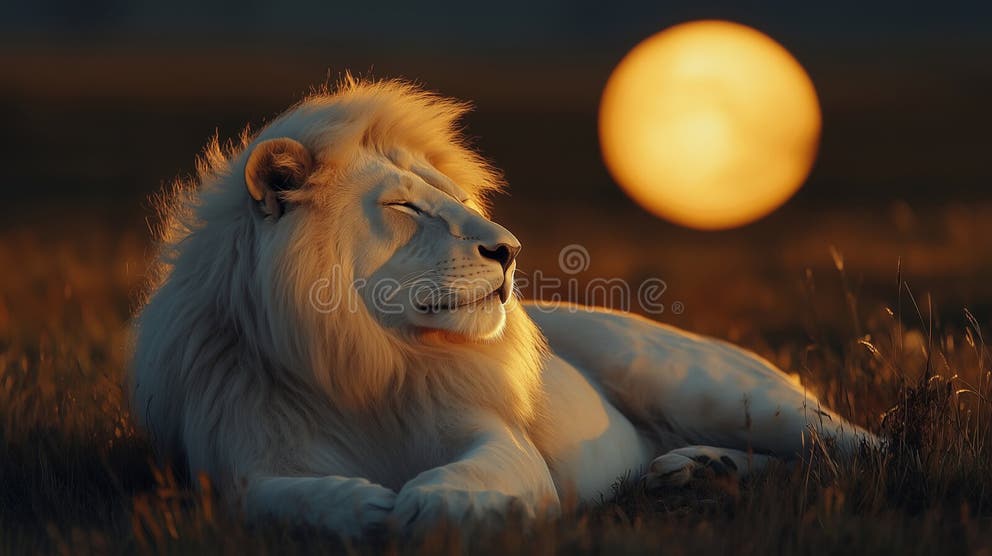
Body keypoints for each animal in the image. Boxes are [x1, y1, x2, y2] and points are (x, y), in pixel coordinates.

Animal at [130, 76, 875, 537]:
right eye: (405, 207)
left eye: (456, 197)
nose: (510, 250)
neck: (360, 354)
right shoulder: (234, 455)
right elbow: (261, 497)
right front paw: (358, 507)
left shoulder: (500, 439)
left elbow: (483, 468)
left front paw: (436, 502)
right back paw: (697, 471)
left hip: (707, 385)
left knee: (861, 451)